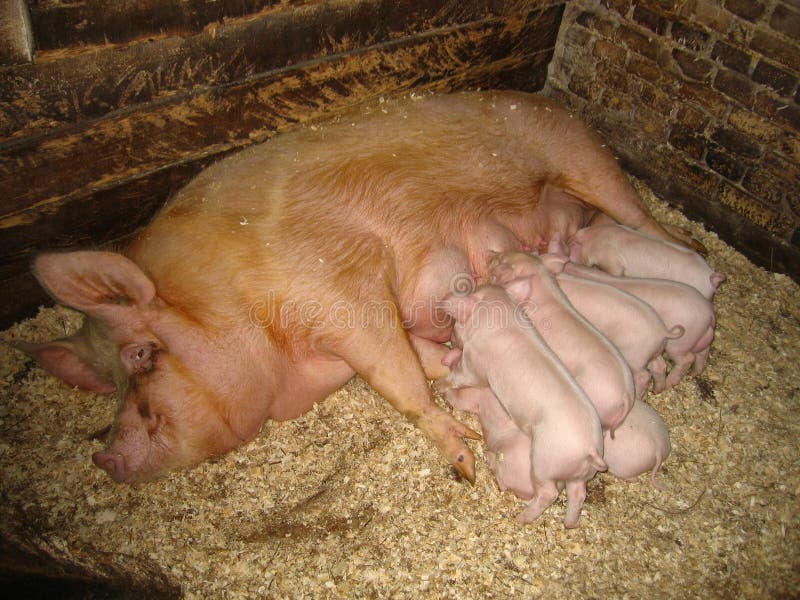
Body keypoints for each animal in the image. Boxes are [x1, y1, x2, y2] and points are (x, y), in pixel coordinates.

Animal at [438, 285, 606, 527]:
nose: (450, 339)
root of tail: (590, 449)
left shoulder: (474, 365)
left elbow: (459, 378)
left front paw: (439, 384)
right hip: (579, 474)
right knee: (578, 494)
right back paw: (569, 524)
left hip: (544, 461)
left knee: (548, 493)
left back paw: (520, 518)